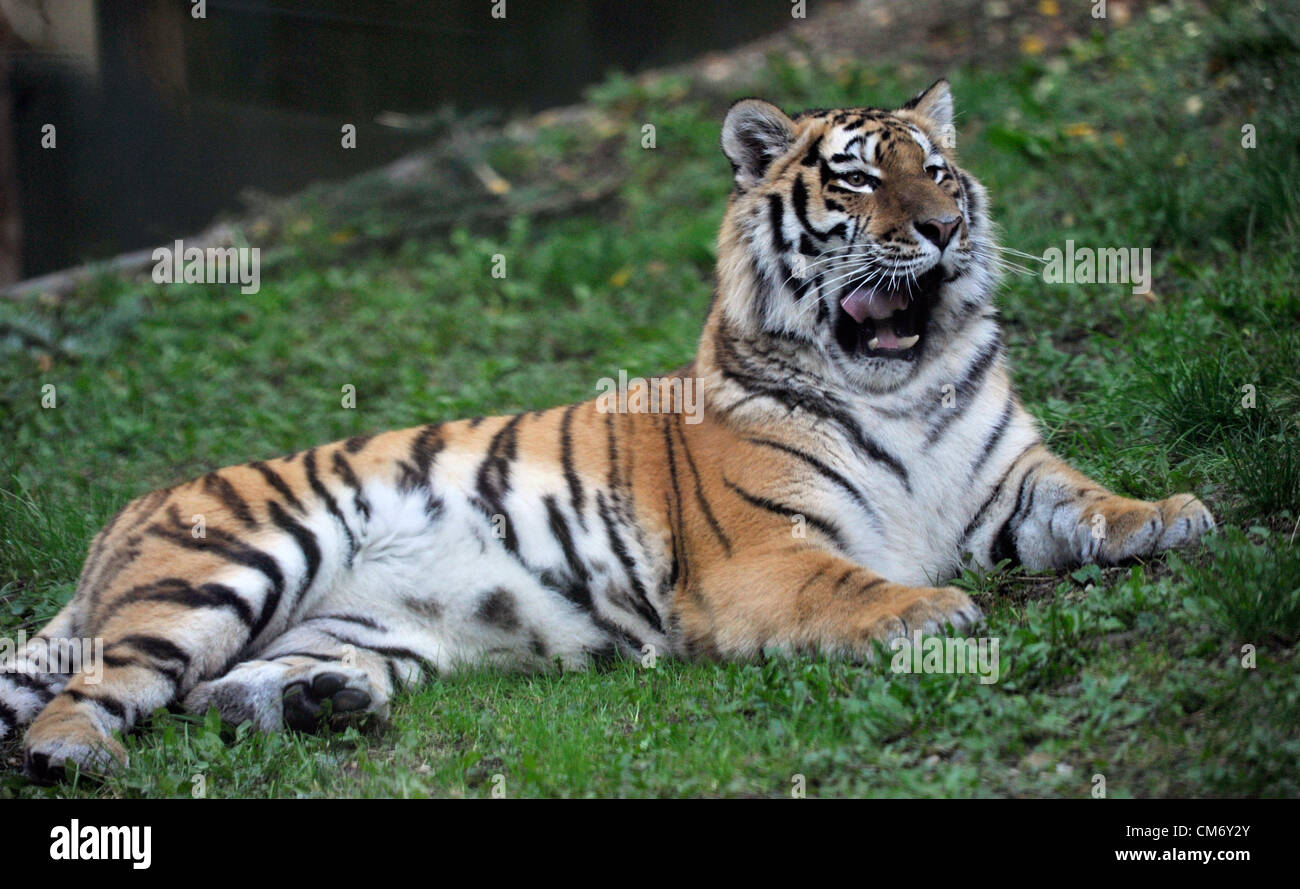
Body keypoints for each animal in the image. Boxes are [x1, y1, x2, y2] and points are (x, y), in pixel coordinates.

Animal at [1, 80, 1214, 781]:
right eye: (863, 179)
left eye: (940, 168)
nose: (945, 226)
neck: (900, 388)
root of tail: (128, 513)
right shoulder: (763, 554)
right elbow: (850, 584)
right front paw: (928, 610)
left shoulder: (1011, 484)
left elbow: (1090, 498)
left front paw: (1172, 514)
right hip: (224, 571)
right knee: (87, 694)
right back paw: (78, 762)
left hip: (356, 627)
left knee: (212, 695)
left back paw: (322, 703)